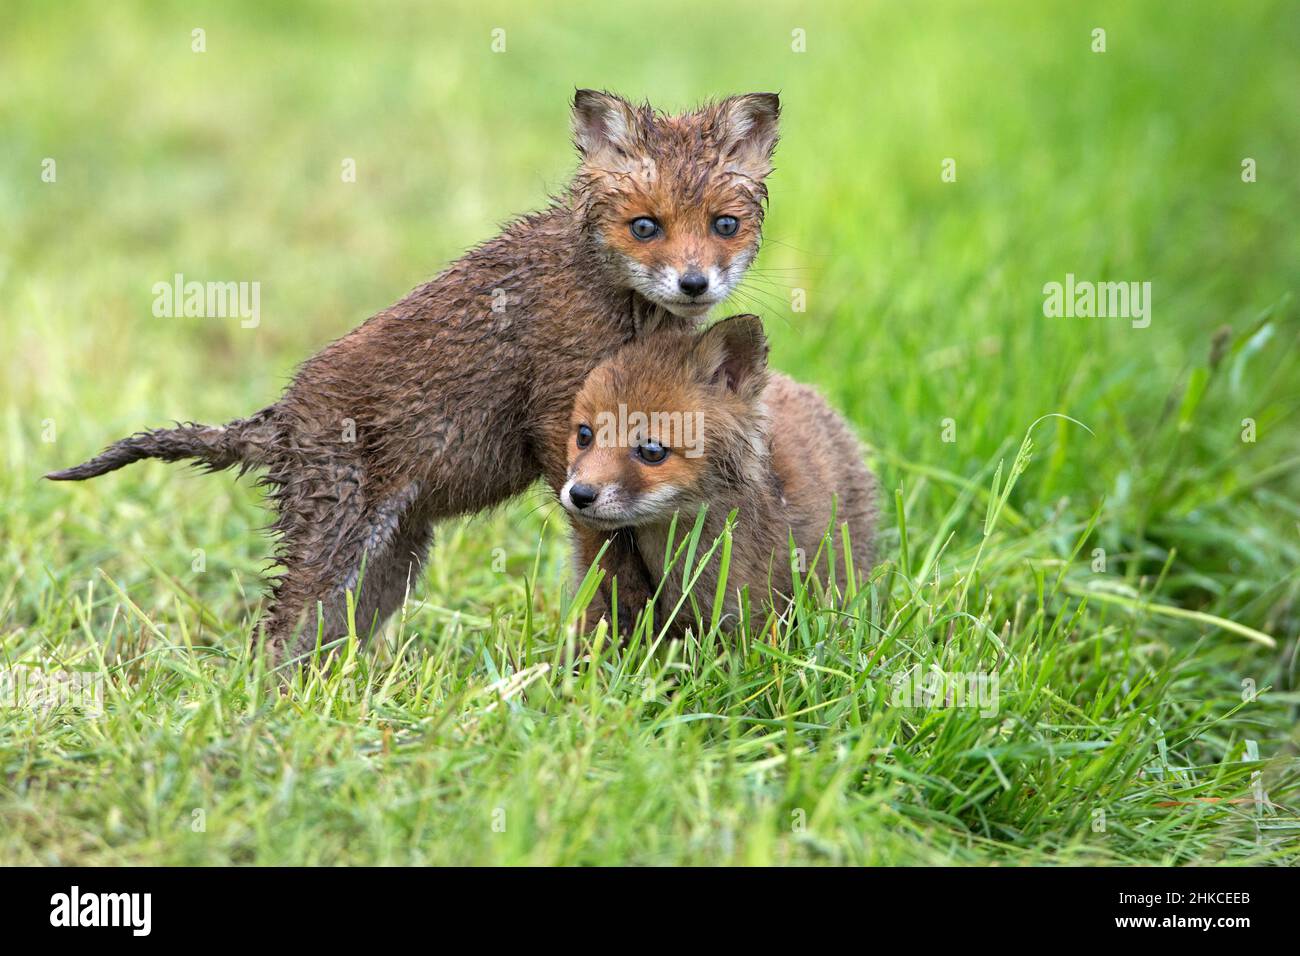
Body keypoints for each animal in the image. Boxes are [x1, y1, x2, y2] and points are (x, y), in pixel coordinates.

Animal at [46, 89, 781, 663]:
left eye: (725, 225)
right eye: (645, 227)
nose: (695, 283)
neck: (610, 293)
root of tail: (281, 417)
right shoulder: (558, 419)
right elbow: (603, 550)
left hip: (387, 565)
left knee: (315, 642)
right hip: (340, 544)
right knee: (274, 638)